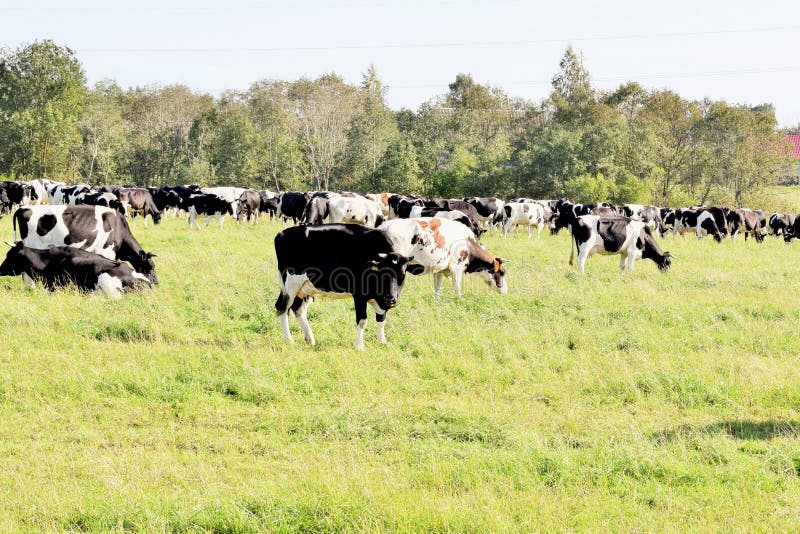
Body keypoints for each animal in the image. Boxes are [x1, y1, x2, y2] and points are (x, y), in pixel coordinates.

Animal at [274, 224, 411, 349]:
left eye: (402, 275)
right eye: (382, 274)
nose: (391, 298)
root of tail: (281, 234)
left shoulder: (382, 301)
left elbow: (381, 319)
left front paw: (382, 342)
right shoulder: (360, 295)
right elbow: (362, 320)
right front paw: (359, 345)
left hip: (305, 287)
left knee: (299, 309)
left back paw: (310, 339)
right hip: (290, 285)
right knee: (282, 308)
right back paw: (289, 341)